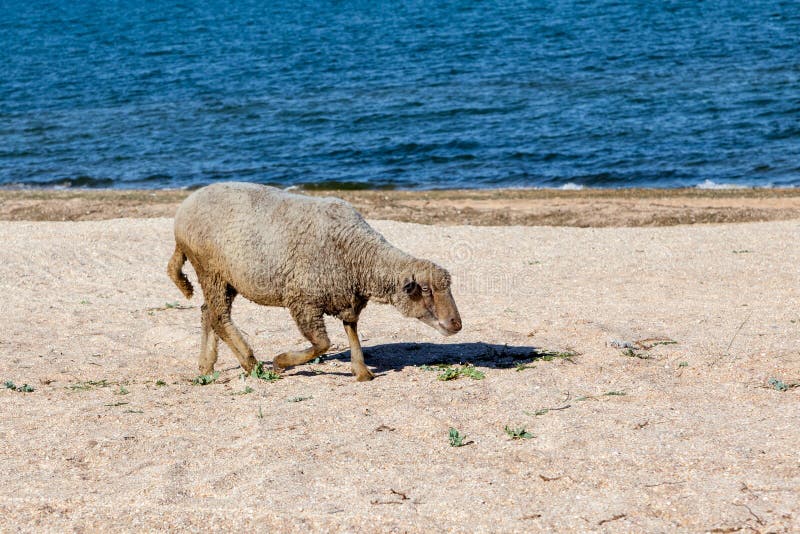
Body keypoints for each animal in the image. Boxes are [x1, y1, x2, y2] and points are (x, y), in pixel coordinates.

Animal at [167, 182, 462, 381]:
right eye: (426, 289)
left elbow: (352, 332)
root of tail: (185, 207)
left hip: (225, 277)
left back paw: (207, 366)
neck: (358, 255)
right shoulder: (303, 301)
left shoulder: (346, 297)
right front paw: (281, 361)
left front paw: (361, 371)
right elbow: (323, 344)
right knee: (219, 317)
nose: (457, 324)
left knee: (208, 312)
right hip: (210, 269)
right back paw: (252, 363)